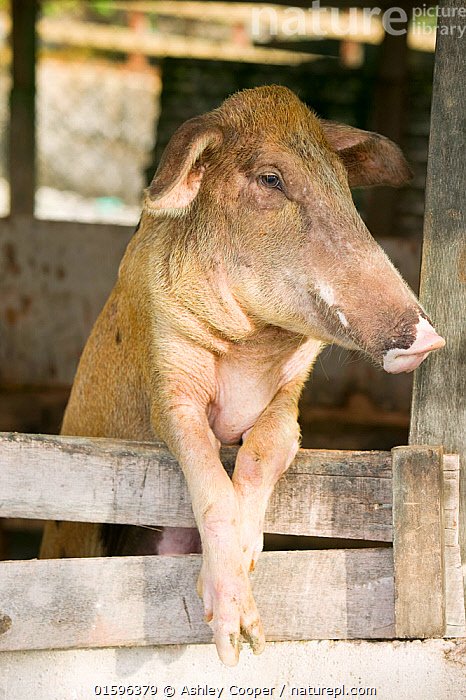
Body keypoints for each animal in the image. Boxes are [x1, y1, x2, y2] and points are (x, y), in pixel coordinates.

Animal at [40, 85, 445, 665]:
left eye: (341, 185)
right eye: (271, 179)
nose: (431, 338)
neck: (248, 348)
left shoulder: (290, 401)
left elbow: (265, 448)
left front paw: (253, 571)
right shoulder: (169, 382)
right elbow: (208, 472)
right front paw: (235, 647)